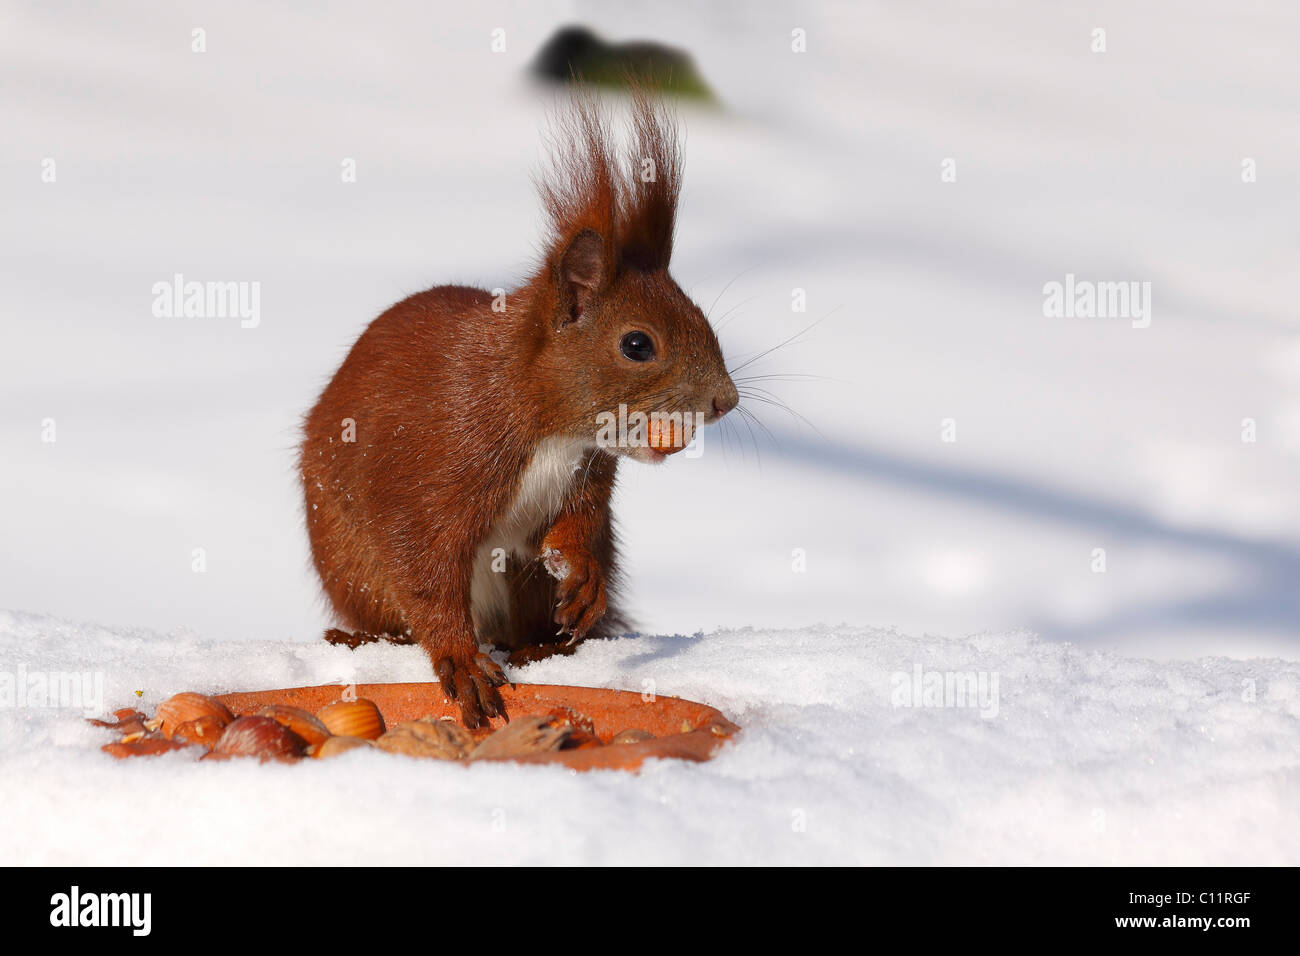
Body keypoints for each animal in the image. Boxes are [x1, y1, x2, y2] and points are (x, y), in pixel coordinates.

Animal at [299, 89, 738, 728]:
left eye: (702, 317)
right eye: (638, 345)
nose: (726, 401)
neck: (550, 428)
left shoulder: (588, 476)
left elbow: (576, 527)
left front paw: (582, 573)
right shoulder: (438, 466)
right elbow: (423, 567)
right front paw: (461, 662)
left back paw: (544, 645)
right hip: (353, 568)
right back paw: (366, 639)